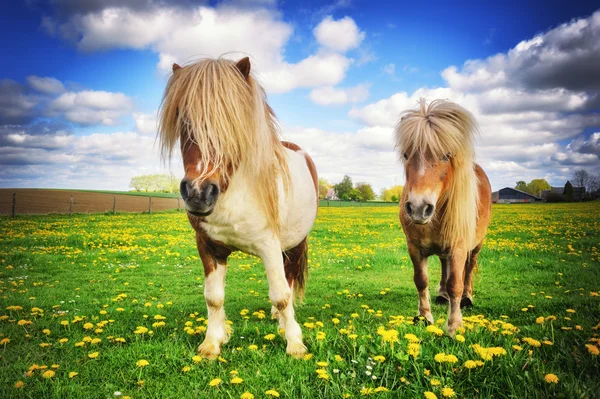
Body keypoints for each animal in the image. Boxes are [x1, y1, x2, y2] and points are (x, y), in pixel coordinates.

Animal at [158, 57, 318, 360]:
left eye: (233, 124)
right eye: (184, 121)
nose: (198, 193)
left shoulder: (269, 245)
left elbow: (282, 294)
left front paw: (294, 344)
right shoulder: (209, 247)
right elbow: (213, 297)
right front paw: (212, 343)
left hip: (294, 243)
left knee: (289, 279)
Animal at [394, 98, 492, 336]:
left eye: (446, 155)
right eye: (406, 155)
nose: (418, 208)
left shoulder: (458, 246)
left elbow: (455, 282)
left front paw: (454, 326)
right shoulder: (414, 247)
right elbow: (421, 281)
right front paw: (424, 317)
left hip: (476, 245)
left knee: (469, 268)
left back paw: (467, 298)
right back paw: (441, 295)